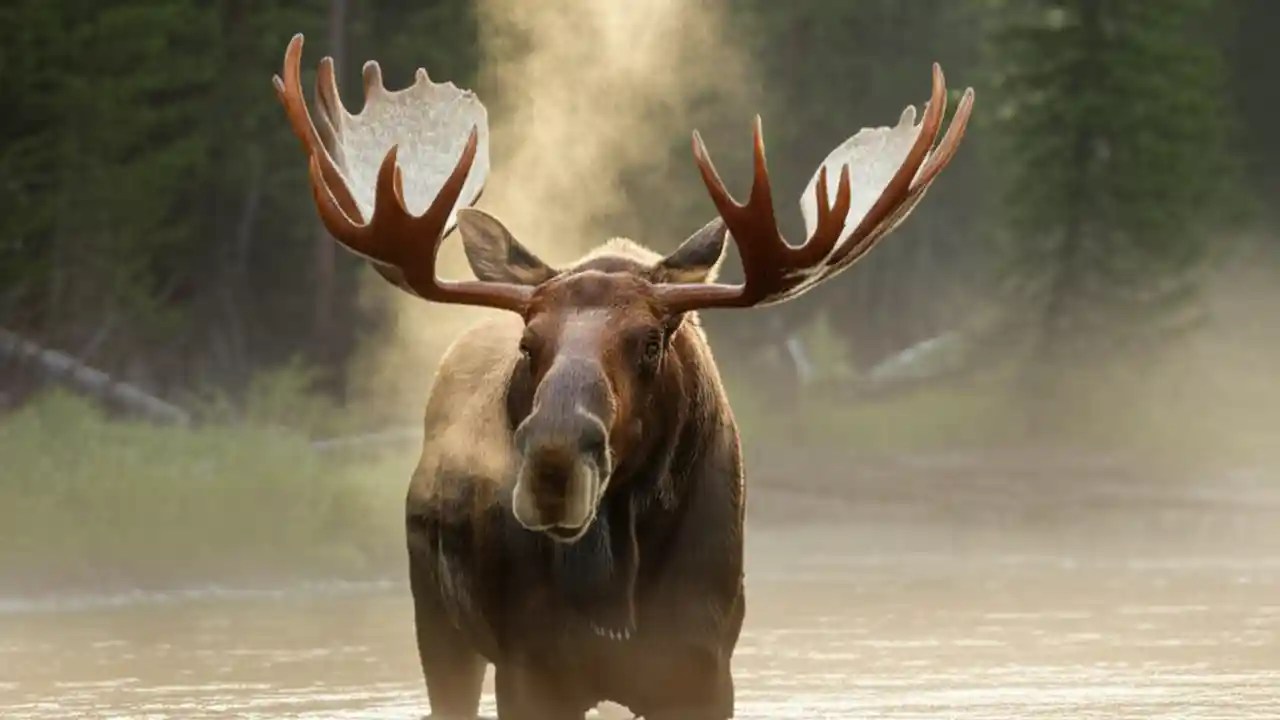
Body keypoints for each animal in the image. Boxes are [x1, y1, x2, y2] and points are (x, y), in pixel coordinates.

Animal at [273, 33, 972, 720]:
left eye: (652, 342)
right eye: (529, 342)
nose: (554, 461)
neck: (616, 591)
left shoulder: (701, 666)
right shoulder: (529, 667)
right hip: (437, 620)